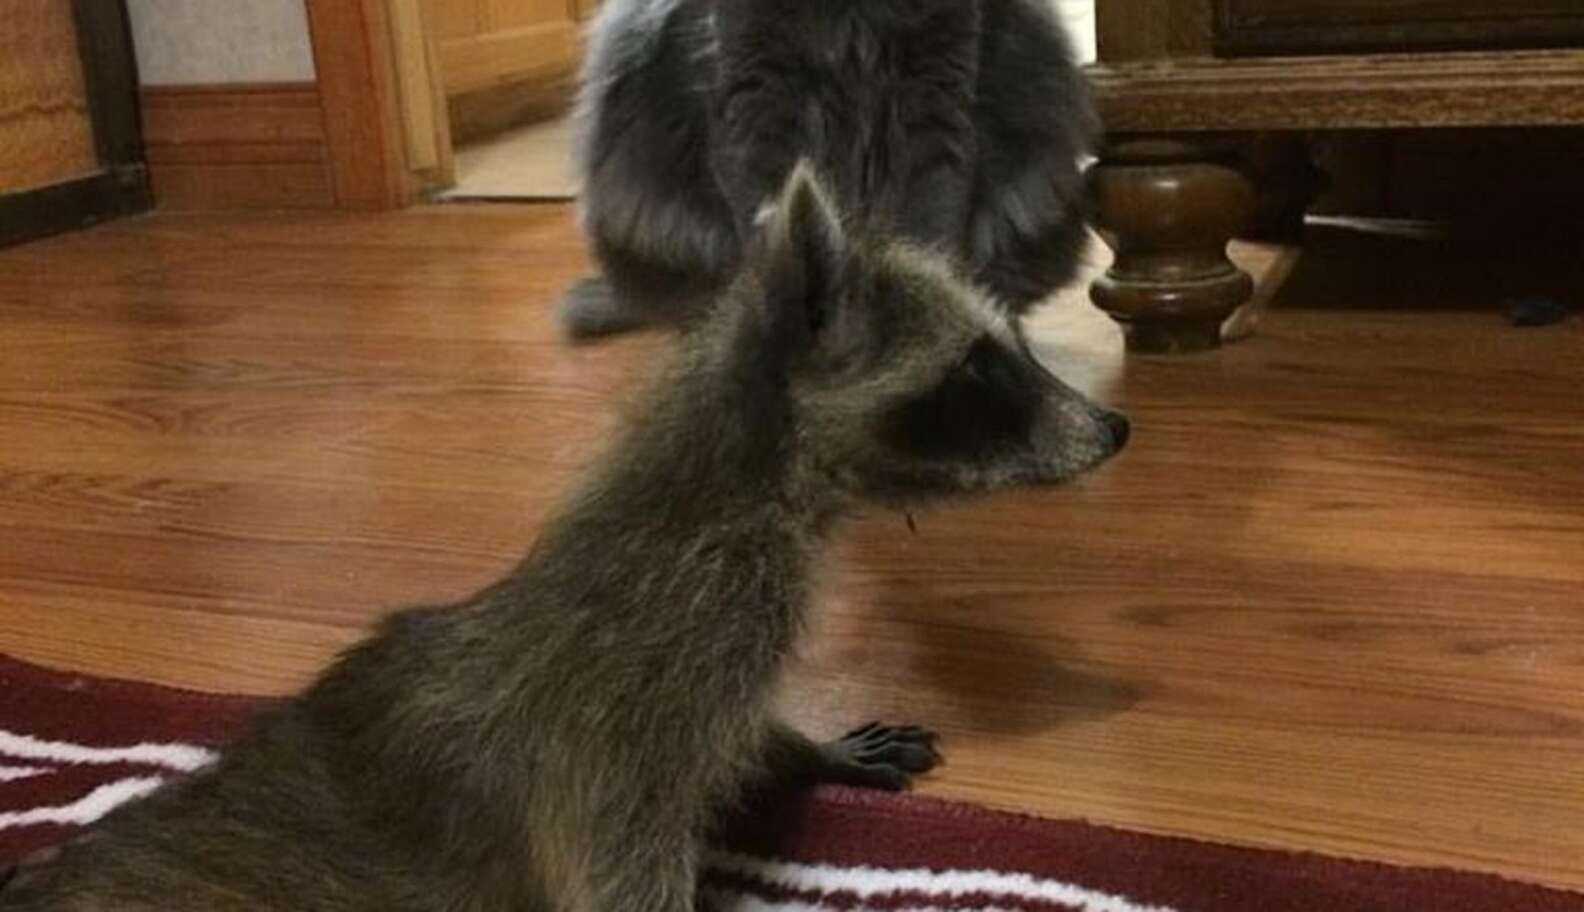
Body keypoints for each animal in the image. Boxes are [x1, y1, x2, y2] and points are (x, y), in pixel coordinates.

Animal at [1, 165, 1127, 912]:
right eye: (979, 370)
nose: (1116, 428)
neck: (747, 490)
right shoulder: (633, 712)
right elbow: (620, 871)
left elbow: (737, 729)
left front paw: (797, 740)